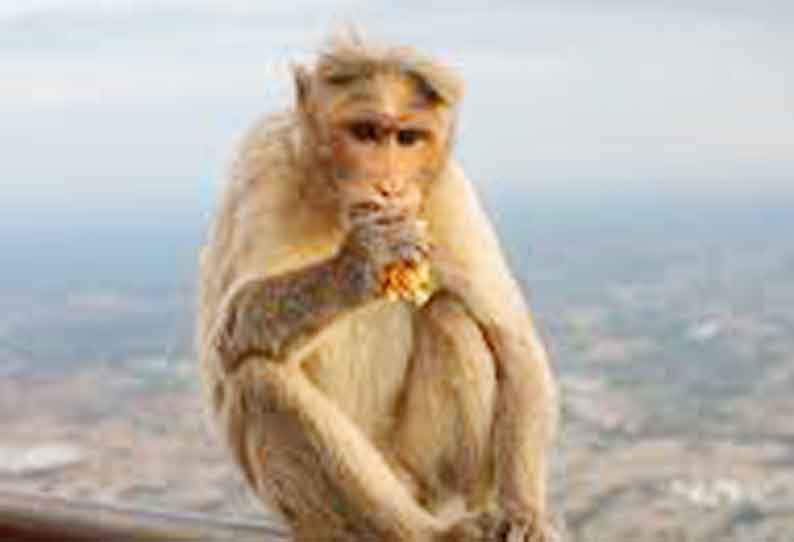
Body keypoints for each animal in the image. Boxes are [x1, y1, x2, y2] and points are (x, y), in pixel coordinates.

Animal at [196, 32, 559, 542]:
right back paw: (424, 533)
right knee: (258, 380)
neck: (332, 200)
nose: (389, 186)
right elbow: (229, 326)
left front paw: (524, 512)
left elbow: (513, 341)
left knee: (452, 317)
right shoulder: (264, 161)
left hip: (421, 471)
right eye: (366, 132)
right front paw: (362, 261)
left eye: (407, 138)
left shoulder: (445, 191)